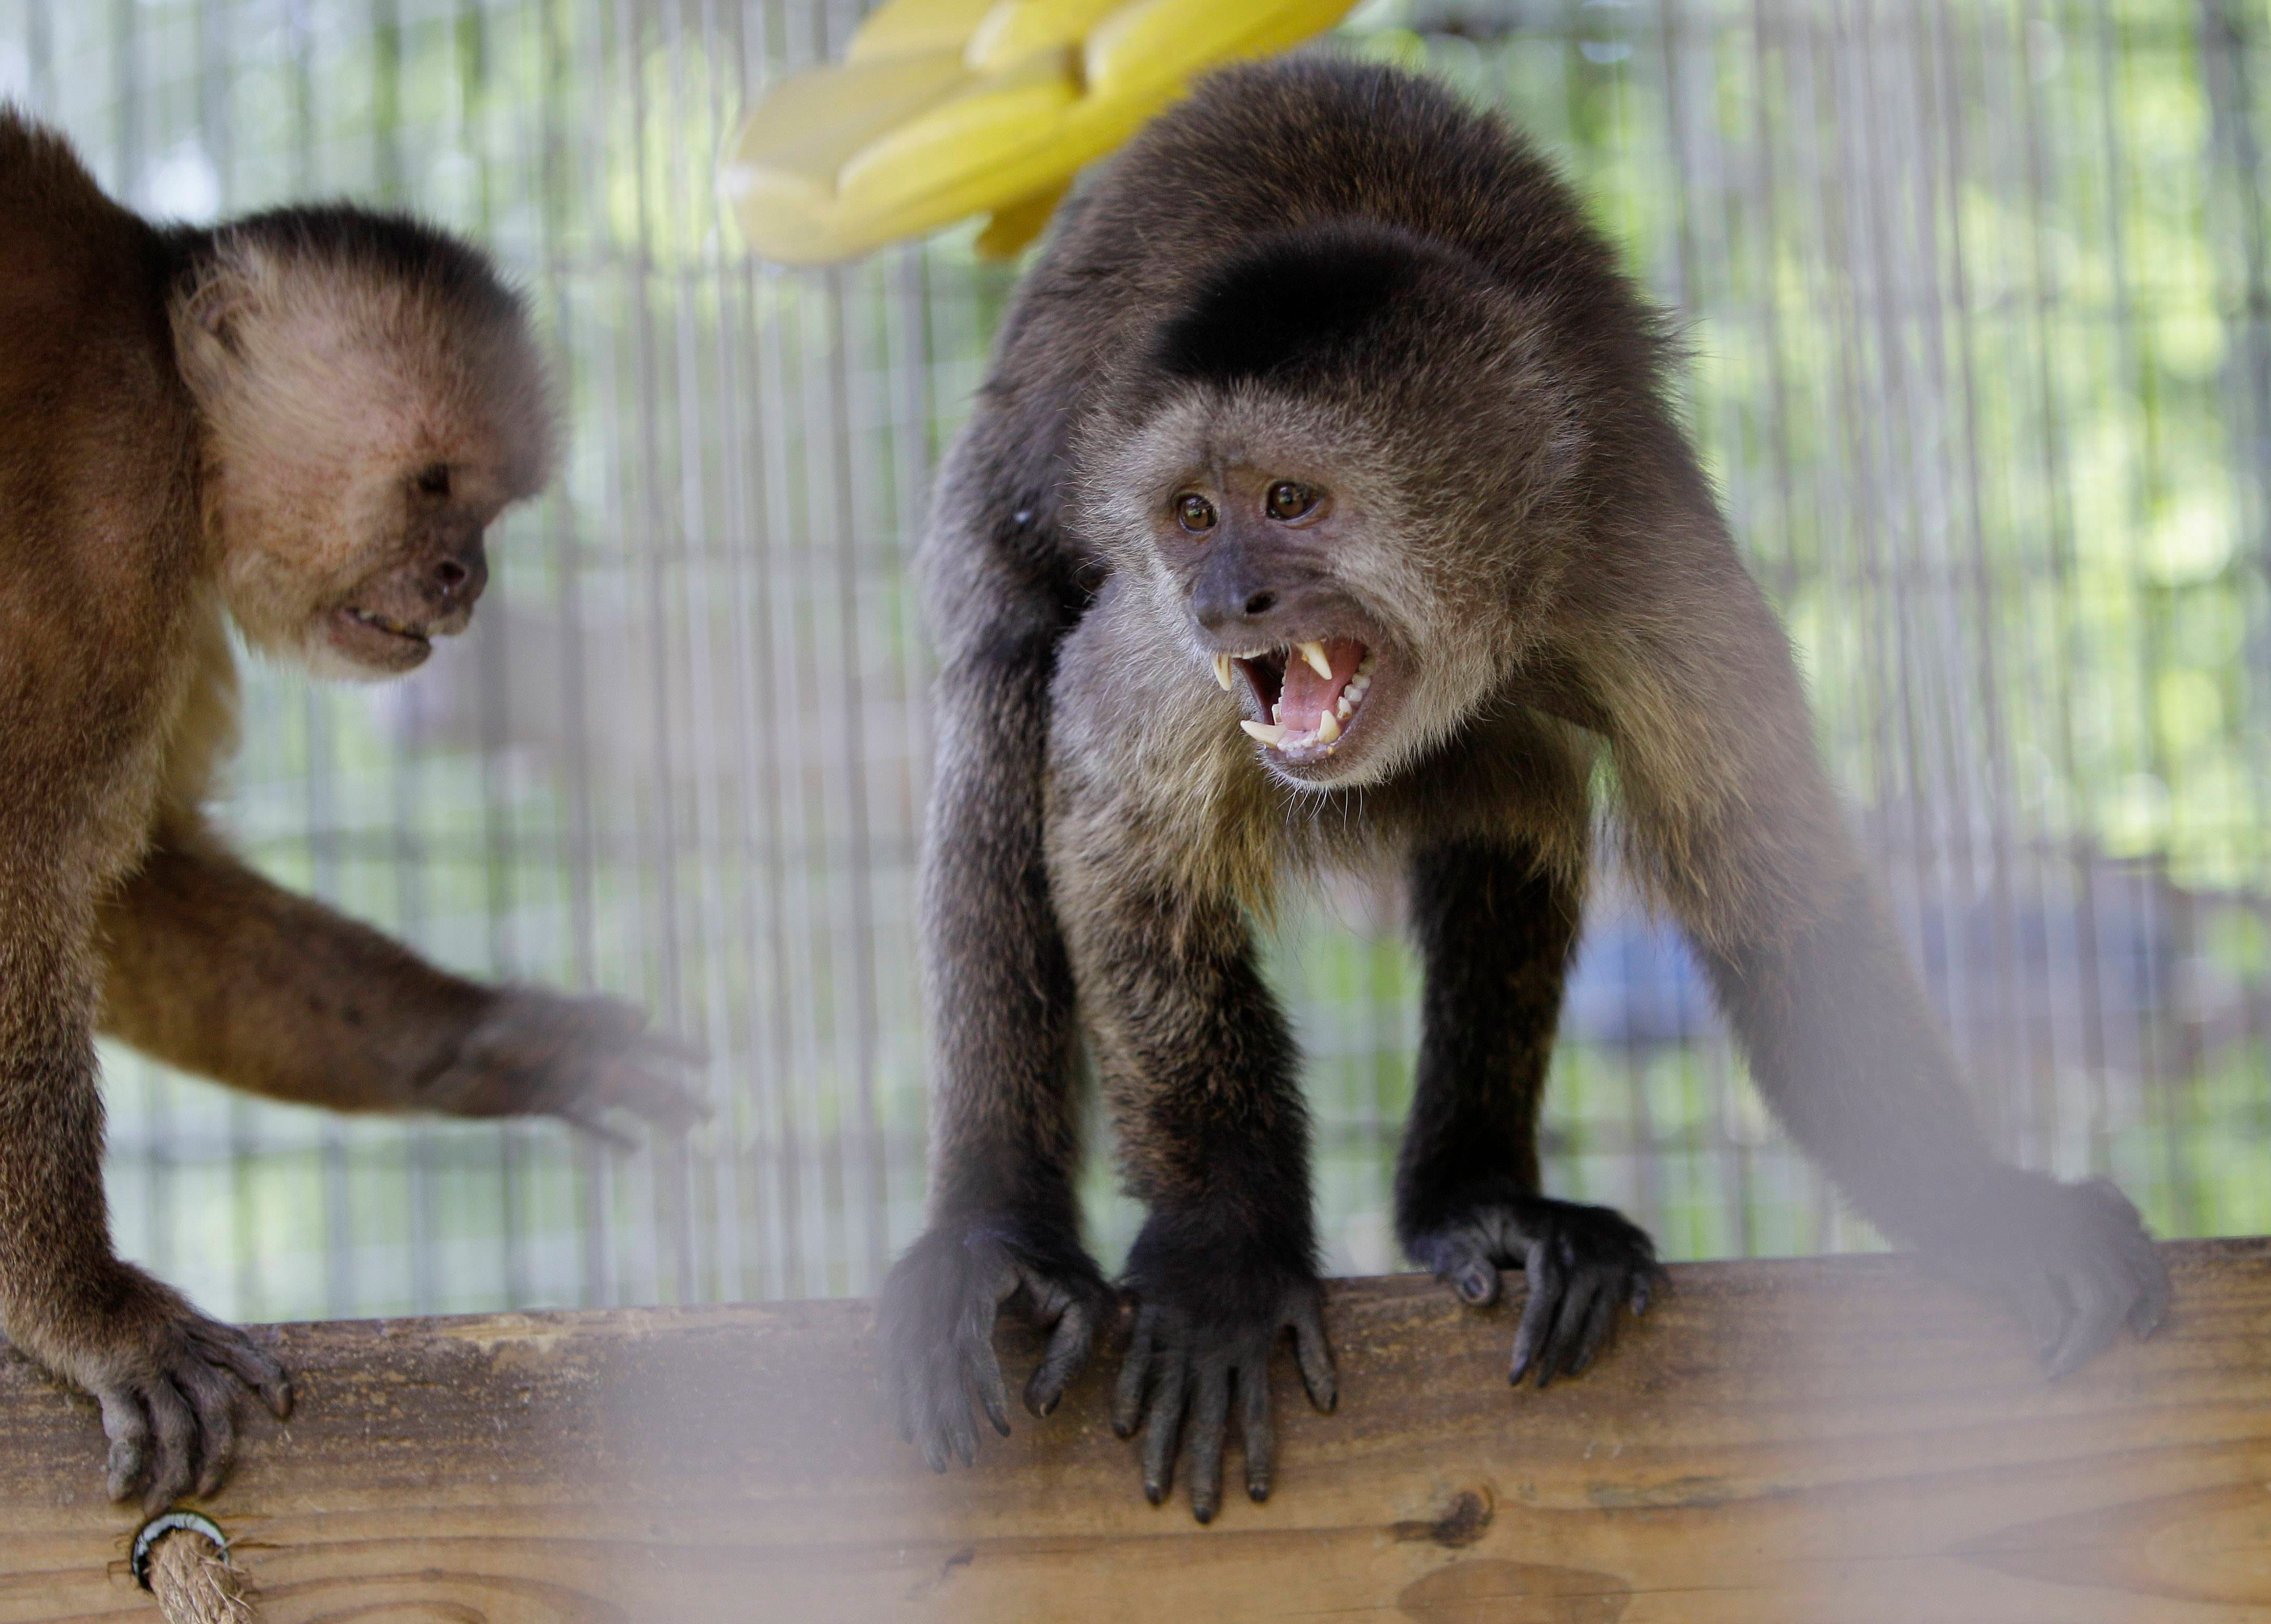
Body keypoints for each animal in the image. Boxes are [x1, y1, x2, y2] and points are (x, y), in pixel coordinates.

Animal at [0, 111, 702, 1513]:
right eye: (431, 484)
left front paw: (485, 1040)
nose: (463, 577)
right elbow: (21, 870)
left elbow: (135, 891)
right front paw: (94, 1317)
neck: (177, 406)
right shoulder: (106, 513)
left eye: (488, 508)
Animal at [877, 58, 2172, 1523]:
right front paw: (1222, 1252)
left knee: (1517, 783)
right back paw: (996, 1234)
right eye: (1192, 517)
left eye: (1289, 501)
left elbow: (1773, 886)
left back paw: (1472, 1199)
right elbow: (1120, 853)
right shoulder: (1153, 650)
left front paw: (1975, 1203)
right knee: (1005, 692)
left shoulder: (1639, 553)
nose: (1224, 602)